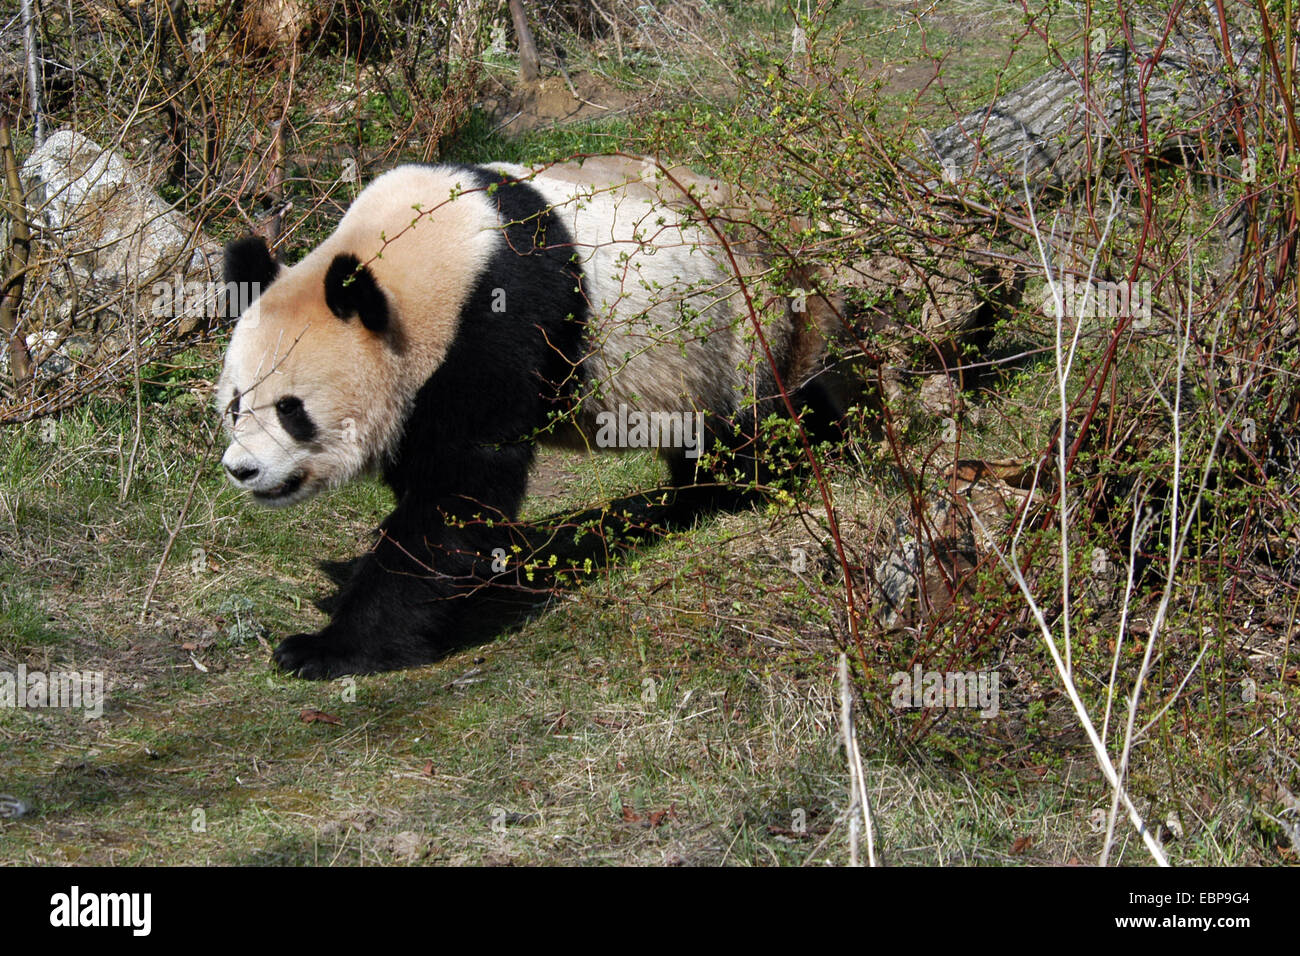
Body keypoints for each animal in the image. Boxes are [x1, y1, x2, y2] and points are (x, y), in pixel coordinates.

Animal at [216, 160, 844, 678]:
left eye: (291, 409)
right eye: (236, 403)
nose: (241, 471)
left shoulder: (495, 317)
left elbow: (459, 487)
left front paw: (325, 649)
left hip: (746, 320)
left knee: (761, 421)